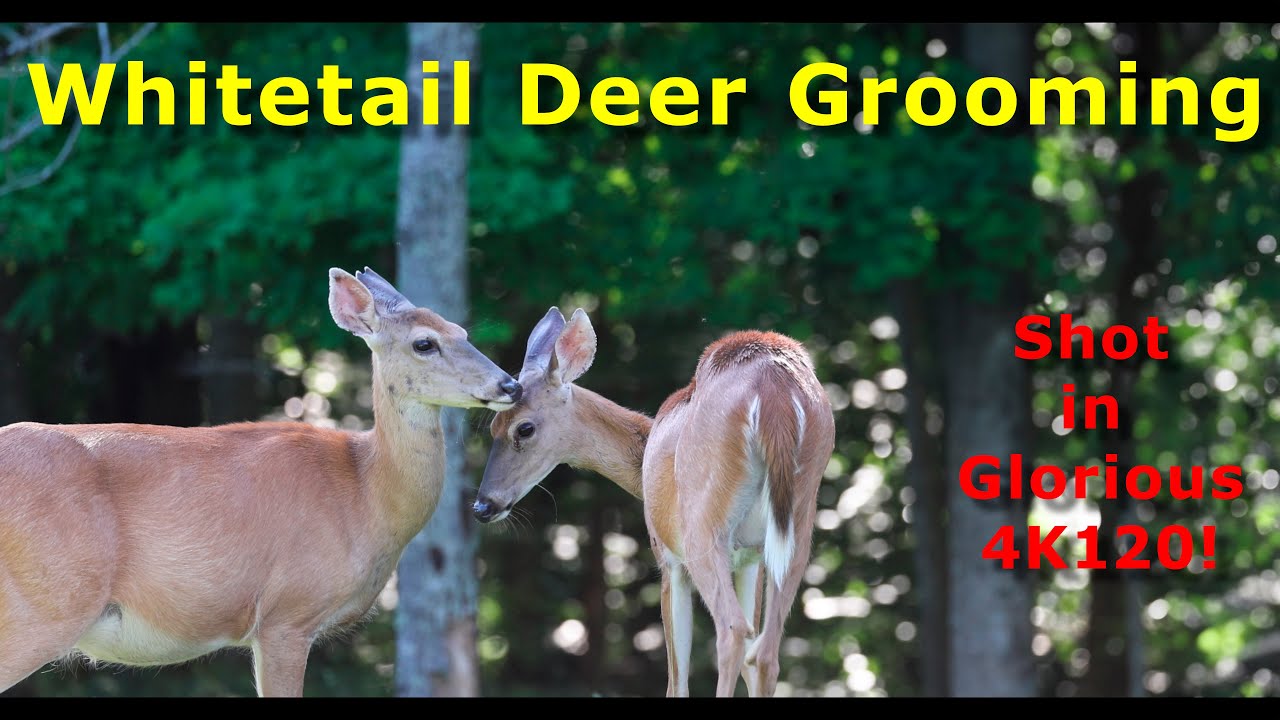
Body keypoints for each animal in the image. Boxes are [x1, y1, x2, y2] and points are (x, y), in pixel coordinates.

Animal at [0, 267, 522, 697]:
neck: (365, 491)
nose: (510, 384)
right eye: (424, 343)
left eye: (463, 331)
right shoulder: (286, 613)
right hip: (43, 601)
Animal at [472, 307, 835, 697]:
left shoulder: (668, 558)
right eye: (492, 426)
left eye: (524, 428)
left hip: (702, 525)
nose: (483, 506)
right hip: (797, 522)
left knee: (733, 633)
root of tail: (773, 389)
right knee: (764, 653)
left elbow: (676, 681)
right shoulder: (751, 557)